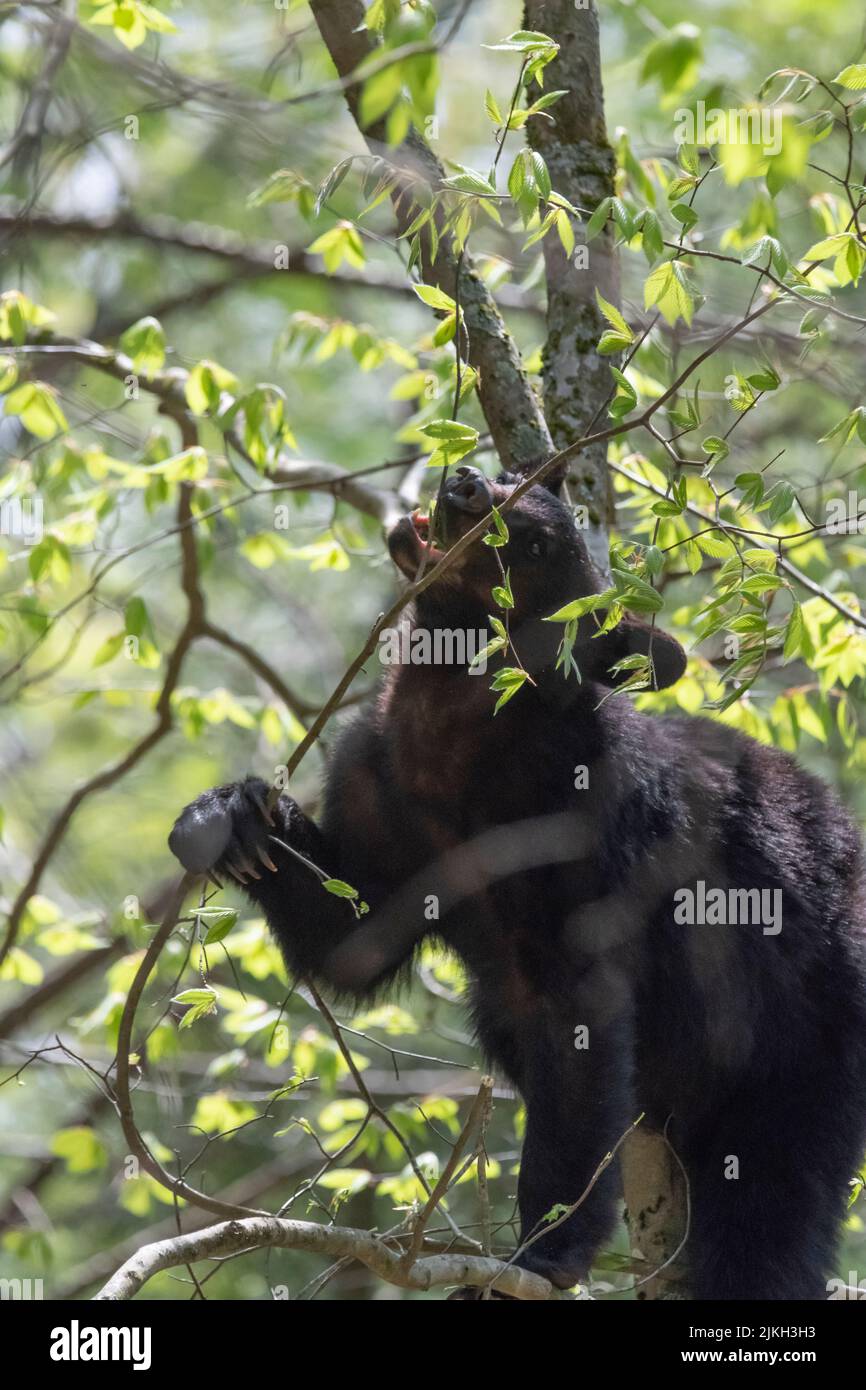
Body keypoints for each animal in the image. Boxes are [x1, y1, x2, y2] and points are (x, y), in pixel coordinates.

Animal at [169, 462, 866, 1299]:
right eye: (507, 477)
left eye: (535, 544)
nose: (466, 480)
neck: (450, 731)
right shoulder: (378, 785)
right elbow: (353, 938)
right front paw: (229, 817)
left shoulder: (578, 830)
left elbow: (579, 1039)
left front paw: (544, 1251)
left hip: (811, 1028)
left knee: (774, 1203)